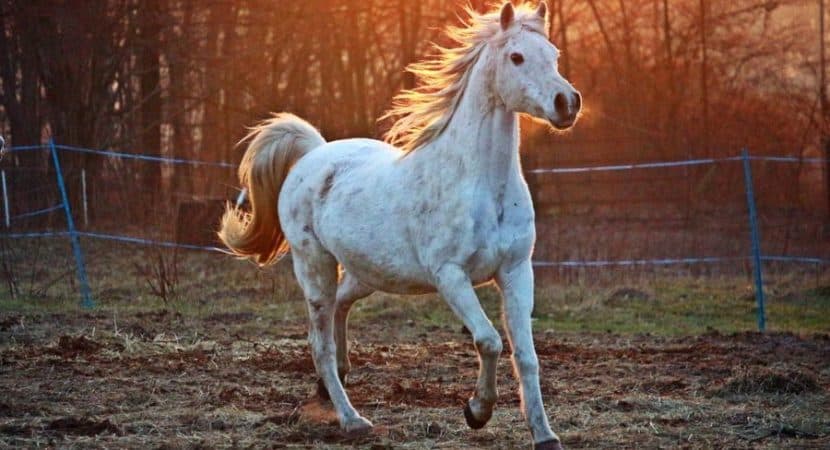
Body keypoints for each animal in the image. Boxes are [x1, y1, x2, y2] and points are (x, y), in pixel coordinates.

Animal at [219, 2, 580, 448]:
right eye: (516, 57)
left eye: (554, 55)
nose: (567, 103)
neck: (479, 183)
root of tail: (313, 154)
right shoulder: (450, 275)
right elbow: (490, 341)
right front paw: (477, 411)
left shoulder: (515, 270)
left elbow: (526, 356)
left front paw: (545, 435)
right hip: (314, 267)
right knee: (319, 343)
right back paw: (352, 419)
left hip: (368, 272)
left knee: (340, 308)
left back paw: (333, 383)